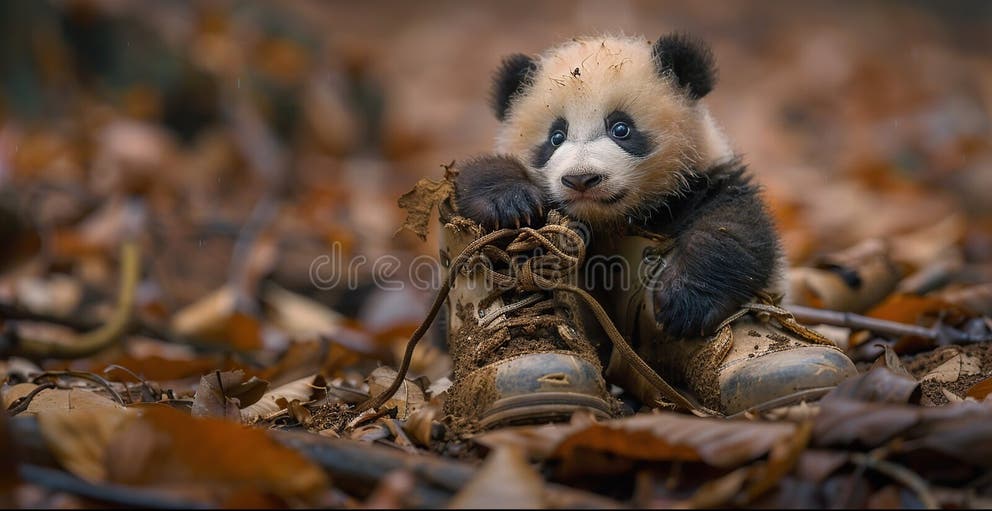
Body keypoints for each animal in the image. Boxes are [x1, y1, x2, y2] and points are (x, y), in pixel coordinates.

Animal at [453, 33, 783, 340]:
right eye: (556, 137)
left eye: (621, 128)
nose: (581, 179)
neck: (608, 222)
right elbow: (474, 176)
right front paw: (511, 202)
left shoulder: (700, 182)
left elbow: (733, 229)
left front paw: (687, 302)